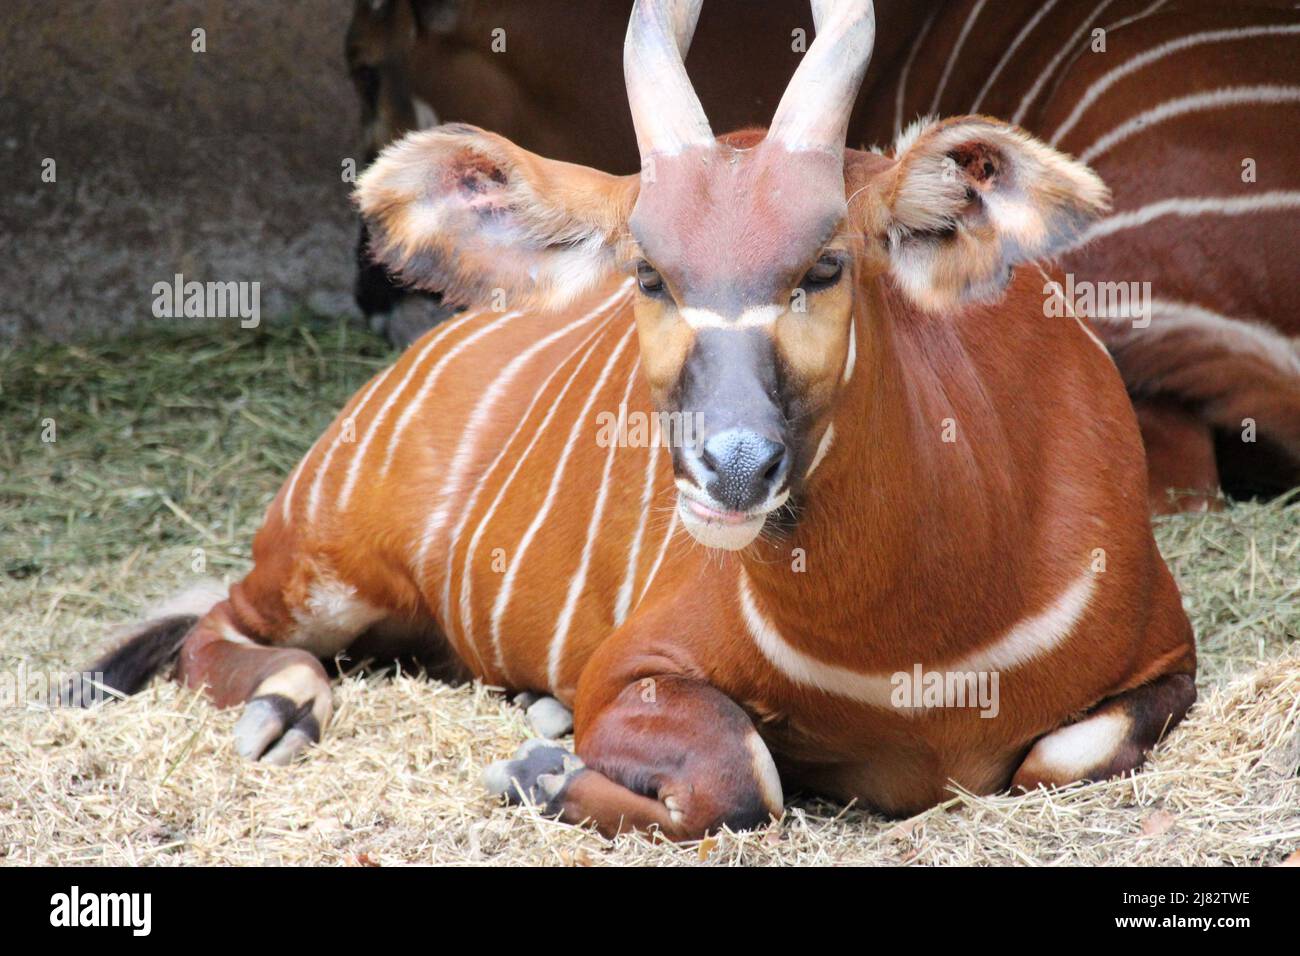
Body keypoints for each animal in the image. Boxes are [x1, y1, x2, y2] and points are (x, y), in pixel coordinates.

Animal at [88, 0, 1197, 838]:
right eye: (650, 272)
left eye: (826, 263)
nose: (733, 470)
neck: (919, 649)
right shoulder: (633, 667)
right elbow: (743, 778)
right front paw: (534, 769)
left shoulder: (1165, 664)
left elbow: (1064, 753)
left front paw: (539, 748)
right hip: (324, 566)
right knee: (220, 623)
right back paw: (283, 707)